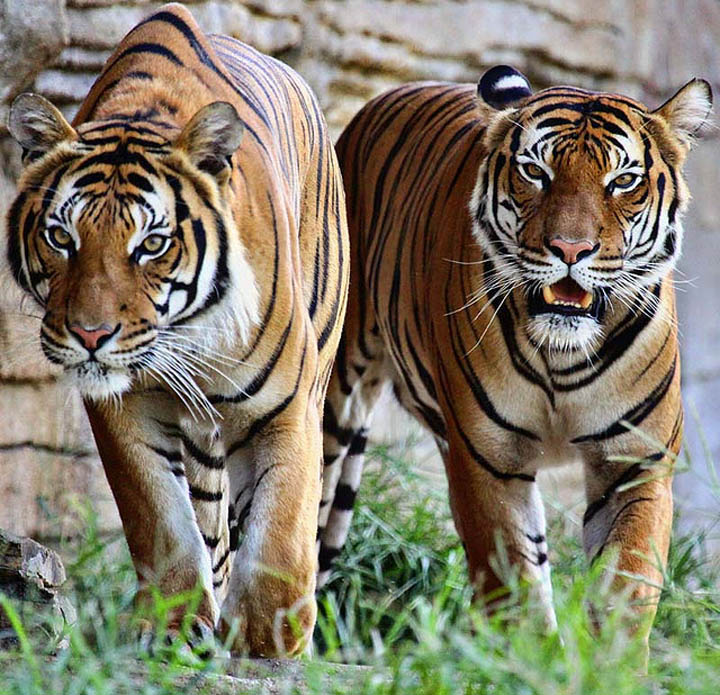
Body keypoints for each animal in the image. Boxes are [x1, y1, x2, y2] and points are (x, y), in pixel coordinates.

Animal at [5, 2, 348, 657]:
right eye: (62, 237)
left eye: (151, 245)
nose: (91, 336)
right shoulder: (124, 407)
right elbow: (162, 519)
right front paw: (172, 625)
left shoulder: (287, 405)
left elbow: (282, 528)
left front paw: (269, 642)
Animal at [318, 65, 711, 654]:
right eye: (535, 172)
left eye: (622, 181)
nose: (569, 250)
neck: (563, 357)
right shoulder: (489, 461)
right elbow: (516, 579)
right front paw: (532, 659)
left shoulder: (634, 463)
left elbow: (626, 585)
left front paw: (608, 665)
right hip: (335, 395)